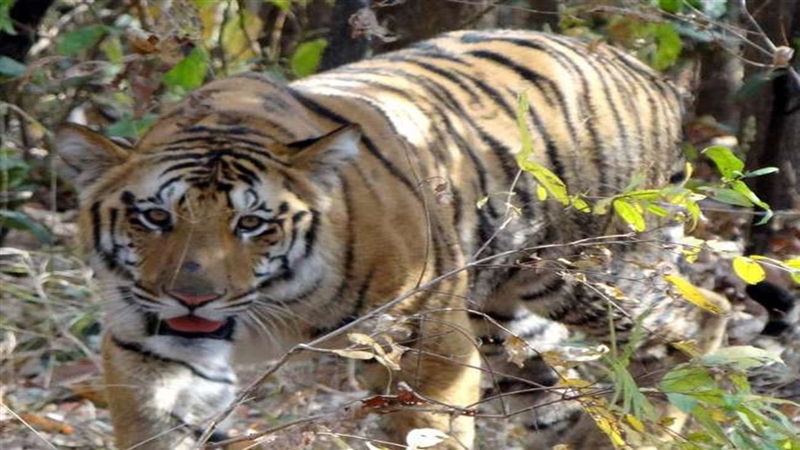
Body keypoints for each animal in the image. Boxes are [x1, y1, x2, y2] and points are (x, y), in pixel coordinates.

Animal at [55, 29, 729, 449]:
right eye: (154, 218)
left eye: (251, 224)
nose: (191, 298)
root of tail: (650, 75)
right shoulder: (146, 349)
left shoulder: (430, 348)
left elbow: (428, 432)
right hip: (507, 318)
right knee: (553, 400)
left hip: (595, 271)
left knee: (697, 321)